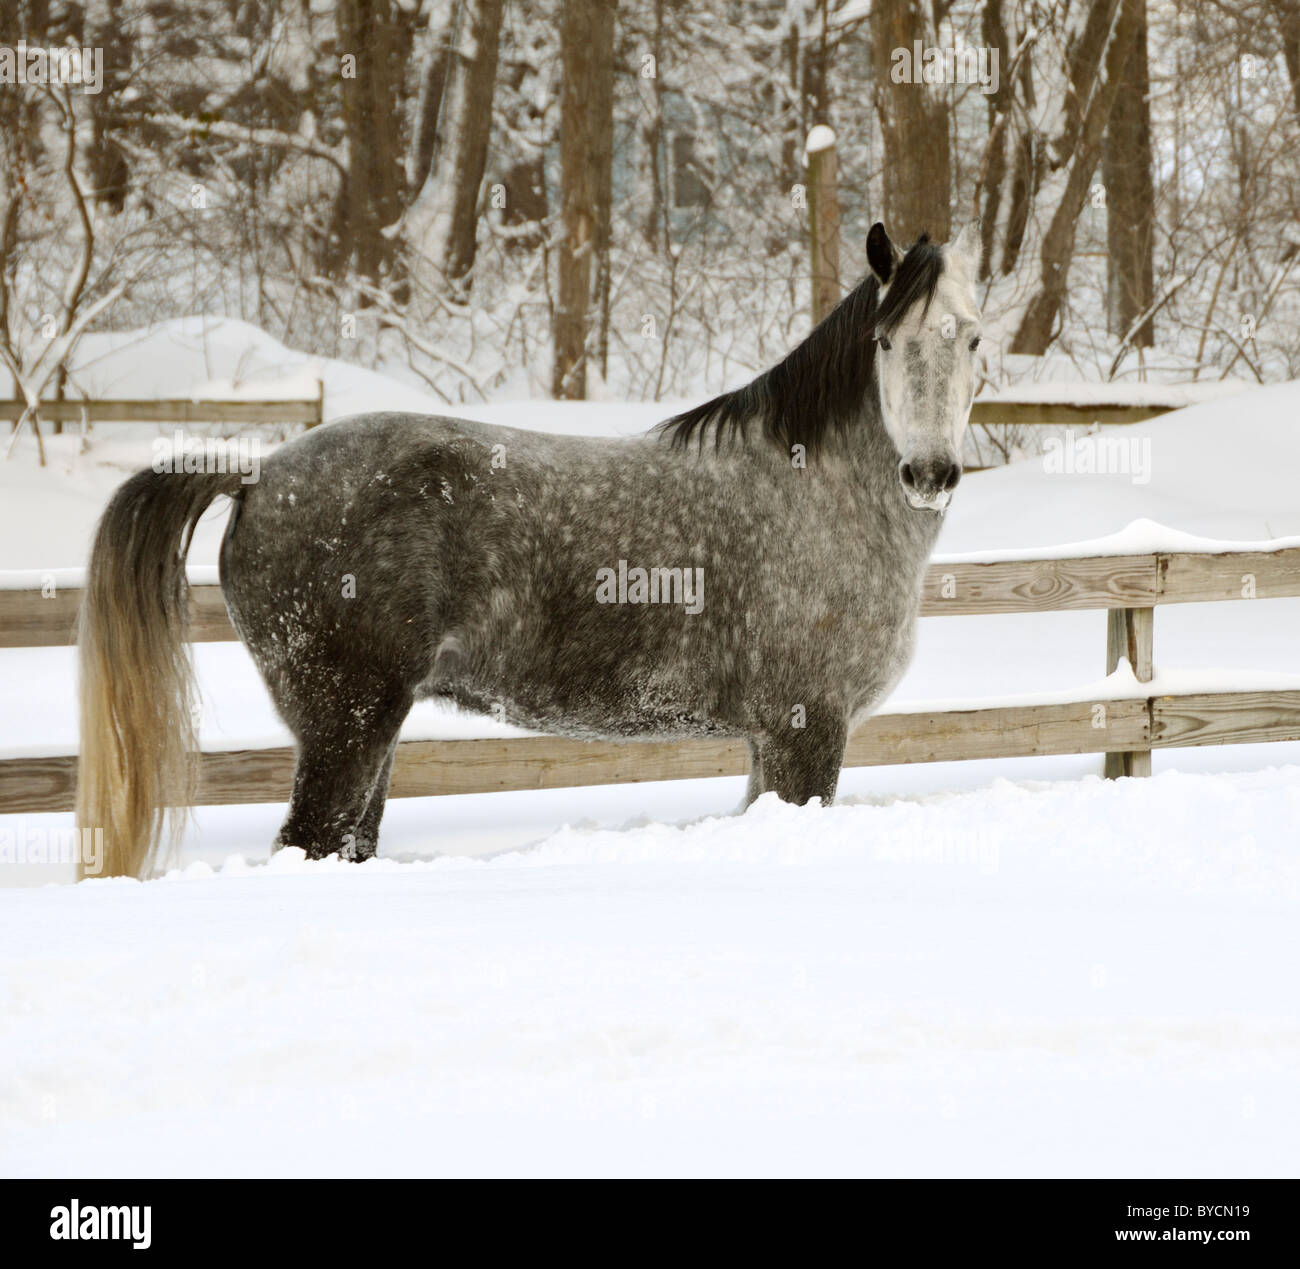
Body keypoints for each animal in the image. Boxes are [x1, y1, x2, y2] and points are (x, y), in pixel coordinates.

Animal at [76, 221, 983, 879]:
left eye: (972, 340)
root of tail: (258, 474)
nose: (930, 473)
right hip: (347, 721)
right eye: (886, 342)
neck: (814, 494)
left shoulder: (771, 739)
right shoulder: (806, 731)